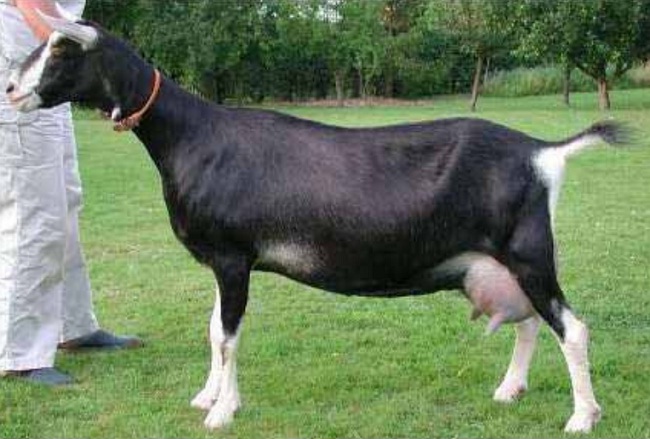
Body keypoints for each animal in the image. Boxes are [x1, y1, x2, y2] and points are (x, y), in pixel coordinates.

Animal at [6, 11, 627, 433]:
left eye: (62, 50)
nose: (11, 88)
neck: (190, 137)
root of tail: (542, 152)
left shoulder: (233, 258)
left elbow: (228, 337)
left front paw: (222, 412)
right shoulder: (222, 262)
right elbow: (212, 331)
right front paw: (207, 398)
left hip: (528, 252)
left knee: (571, 327)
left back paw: (583, 416)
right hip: (504, 262)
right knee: (530, 322)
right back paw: (510, 391)